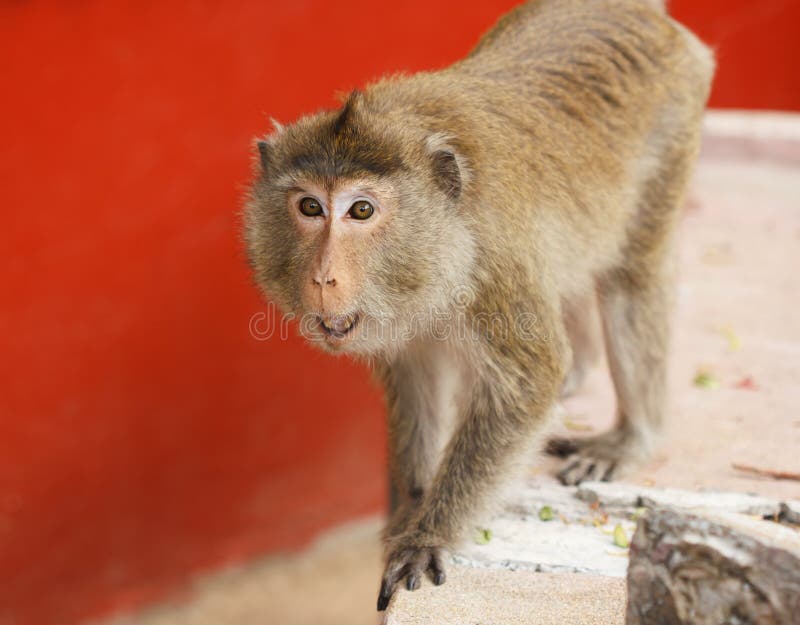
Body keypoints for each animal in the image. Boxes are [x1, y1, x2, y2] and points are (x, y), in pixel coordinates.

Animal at [243, 0, 714, 612]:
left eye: (361, 210)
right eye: (309, 207)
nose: (324, 276)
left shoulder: (495, 261)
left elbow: (528, 383)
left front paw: (429, 534)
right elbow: (417, 378)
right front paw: (412, 503)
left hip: (675, 121)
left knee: (633, 275)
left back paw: (633, 437)